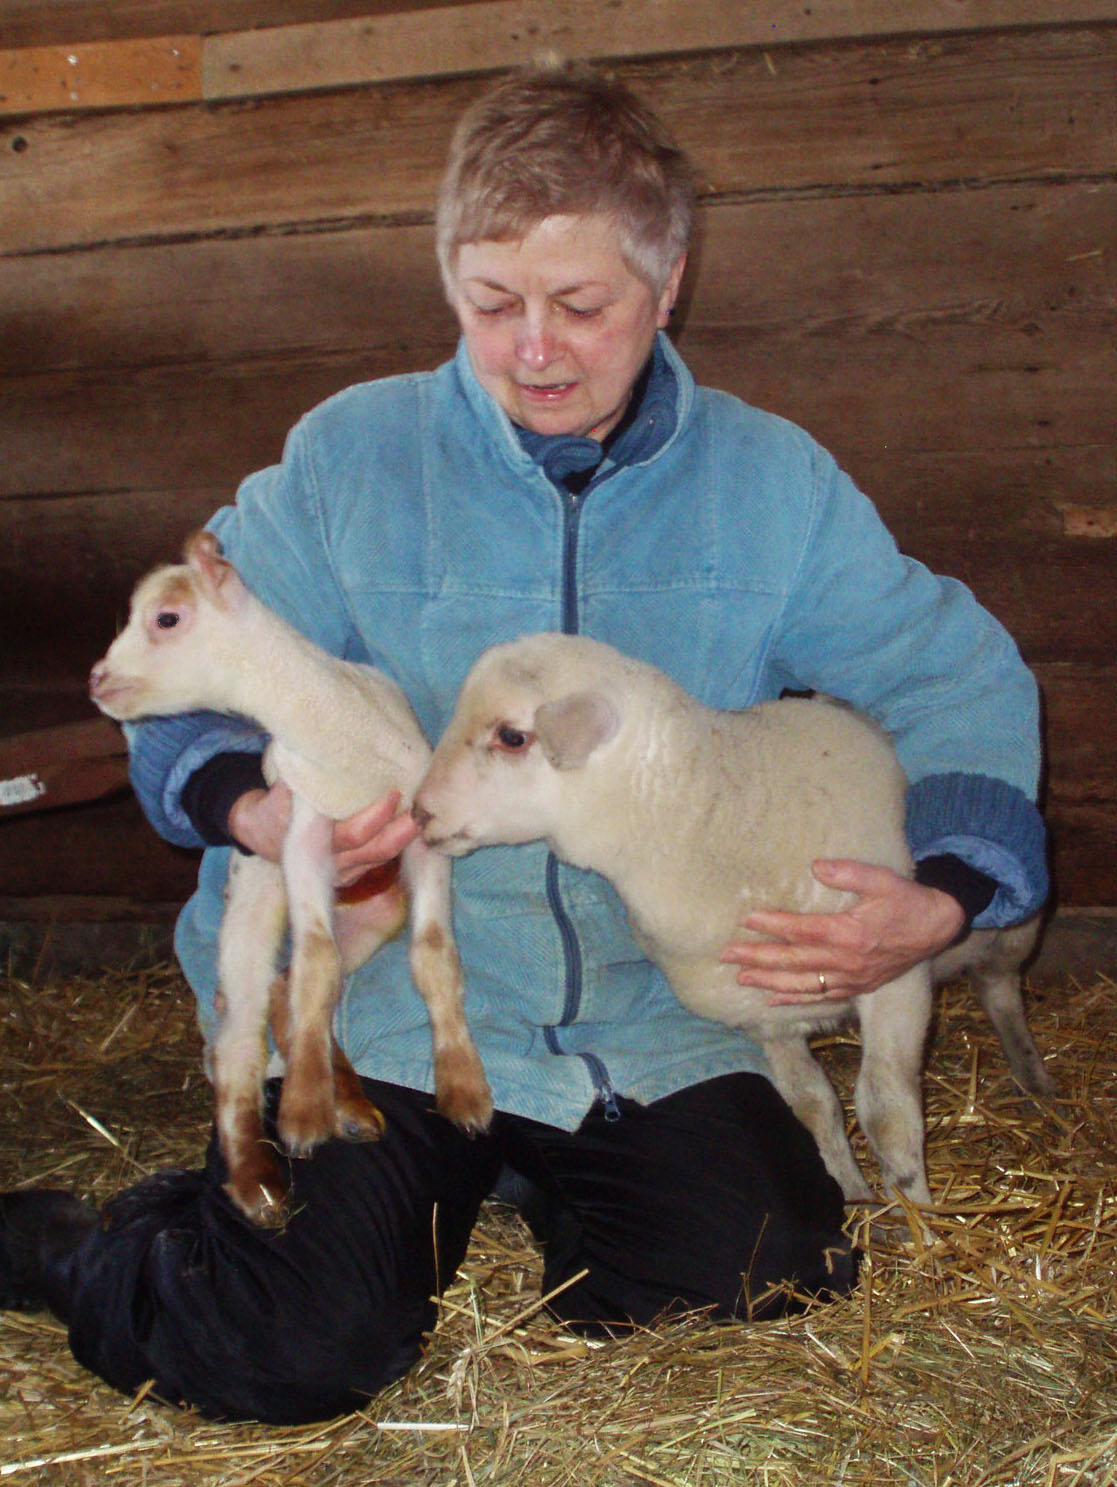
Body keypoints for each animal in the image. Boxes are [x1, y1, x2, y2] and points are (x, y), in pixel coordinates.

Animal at [90, 531, 492, 1225]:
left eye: (166, 619)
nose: (96, 680)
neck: (341, 731)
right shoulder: (303, 832)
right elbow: (318, 963)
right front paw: (303, 1115)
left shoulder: (421, 841)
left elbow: (434, 956)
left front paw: (463, 1089)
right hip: (251, 902)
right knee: (243, 1034)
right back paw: (258, 1177)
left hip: (375, 910)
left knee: (289, 991)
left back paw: (350, 1103)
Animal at [413, 632, 1050, 1208]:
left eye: (512, 736)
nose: (419, 811)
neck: (716, 809)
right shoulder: (762, 1016)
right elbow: (815, 1106)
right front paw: (851, 1193)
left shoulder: (897, 980)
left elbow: (885, 1109)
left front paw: (916, 1216)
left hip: (1010, 935)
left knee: (1000, 990)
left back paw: (1036, 1080)